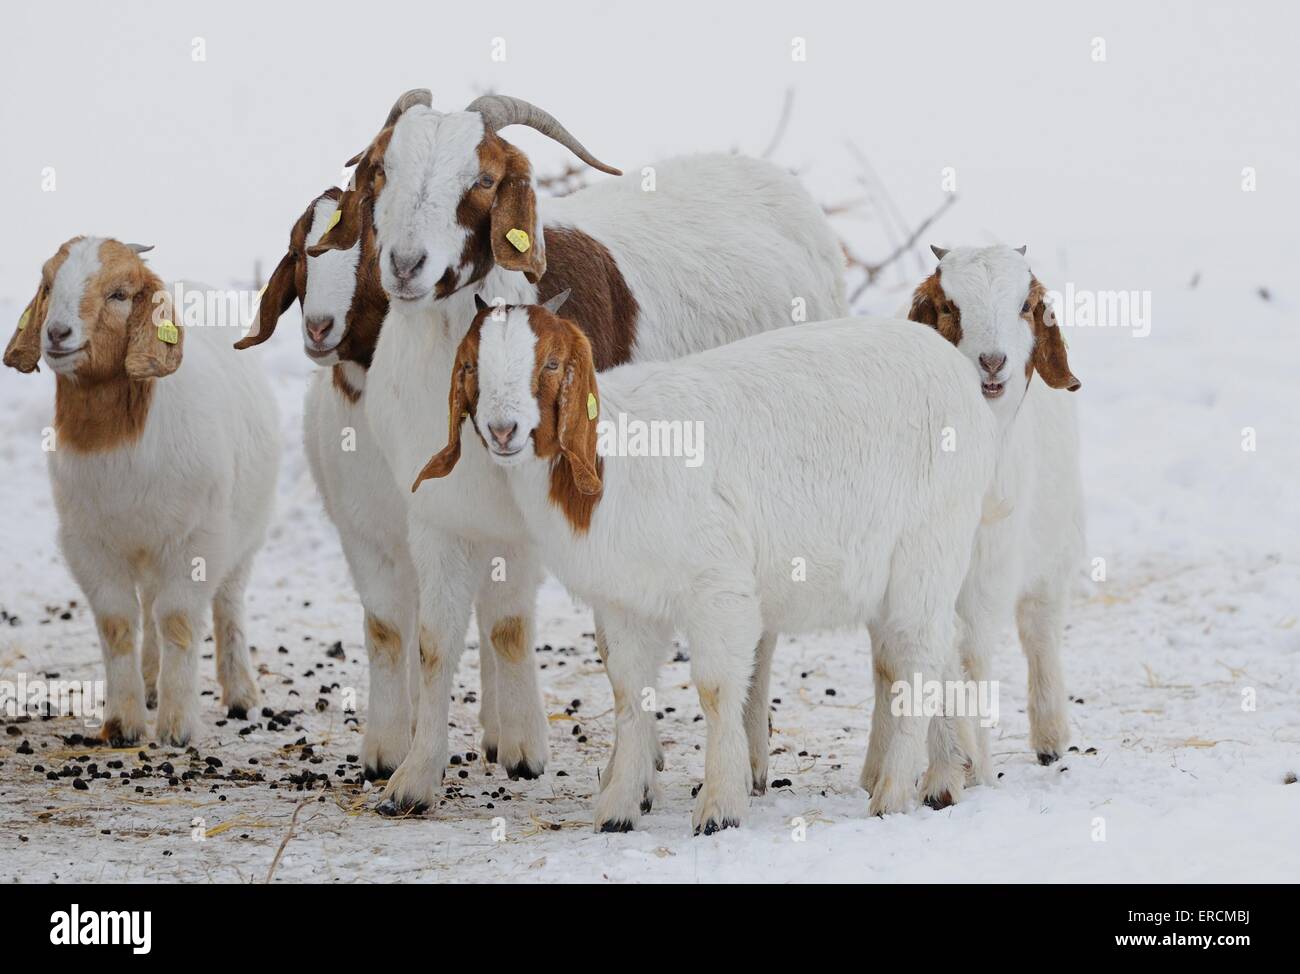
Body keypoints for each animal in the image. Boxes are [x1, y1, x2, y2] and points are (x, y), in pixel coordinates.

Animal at [3, 238, 278, 747]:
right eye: (48, 283)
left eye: (119, 293)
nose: (57, 333)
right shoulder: (89, 544)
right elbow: (118, 622)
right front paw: (124, 723)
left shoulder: (197, 540)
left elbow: (179, 620)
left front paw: (177, 727)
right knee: (149, 606)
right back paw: (151, 683)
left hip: (244, 534)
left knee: (227, 605)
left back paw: (240, 693)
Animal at [308, 91, 847, 814]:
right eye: (383, 170)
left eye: (483, 179)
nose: (406, 264)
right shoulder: (440, 515)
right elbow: (435, 642)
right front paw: (414, 781)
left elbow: (611, 652)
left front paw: (629, 782)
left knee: (759, 633)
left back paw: (753, 762)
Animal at [413, 296, 997, 830]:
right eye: (473, 366)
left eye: (551, 364)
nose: (502, 429)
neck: (612, 455)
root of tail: (955, 368)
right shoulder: (626, 601)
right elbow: (629, 691)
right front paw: (619, 808)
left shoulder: (718, 585)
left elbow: (716, 692)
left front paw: (719, 805)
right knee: (940, 649)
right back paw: (944, 777)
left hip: (927, 548)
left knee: (919, 658)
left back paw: (894, 792)